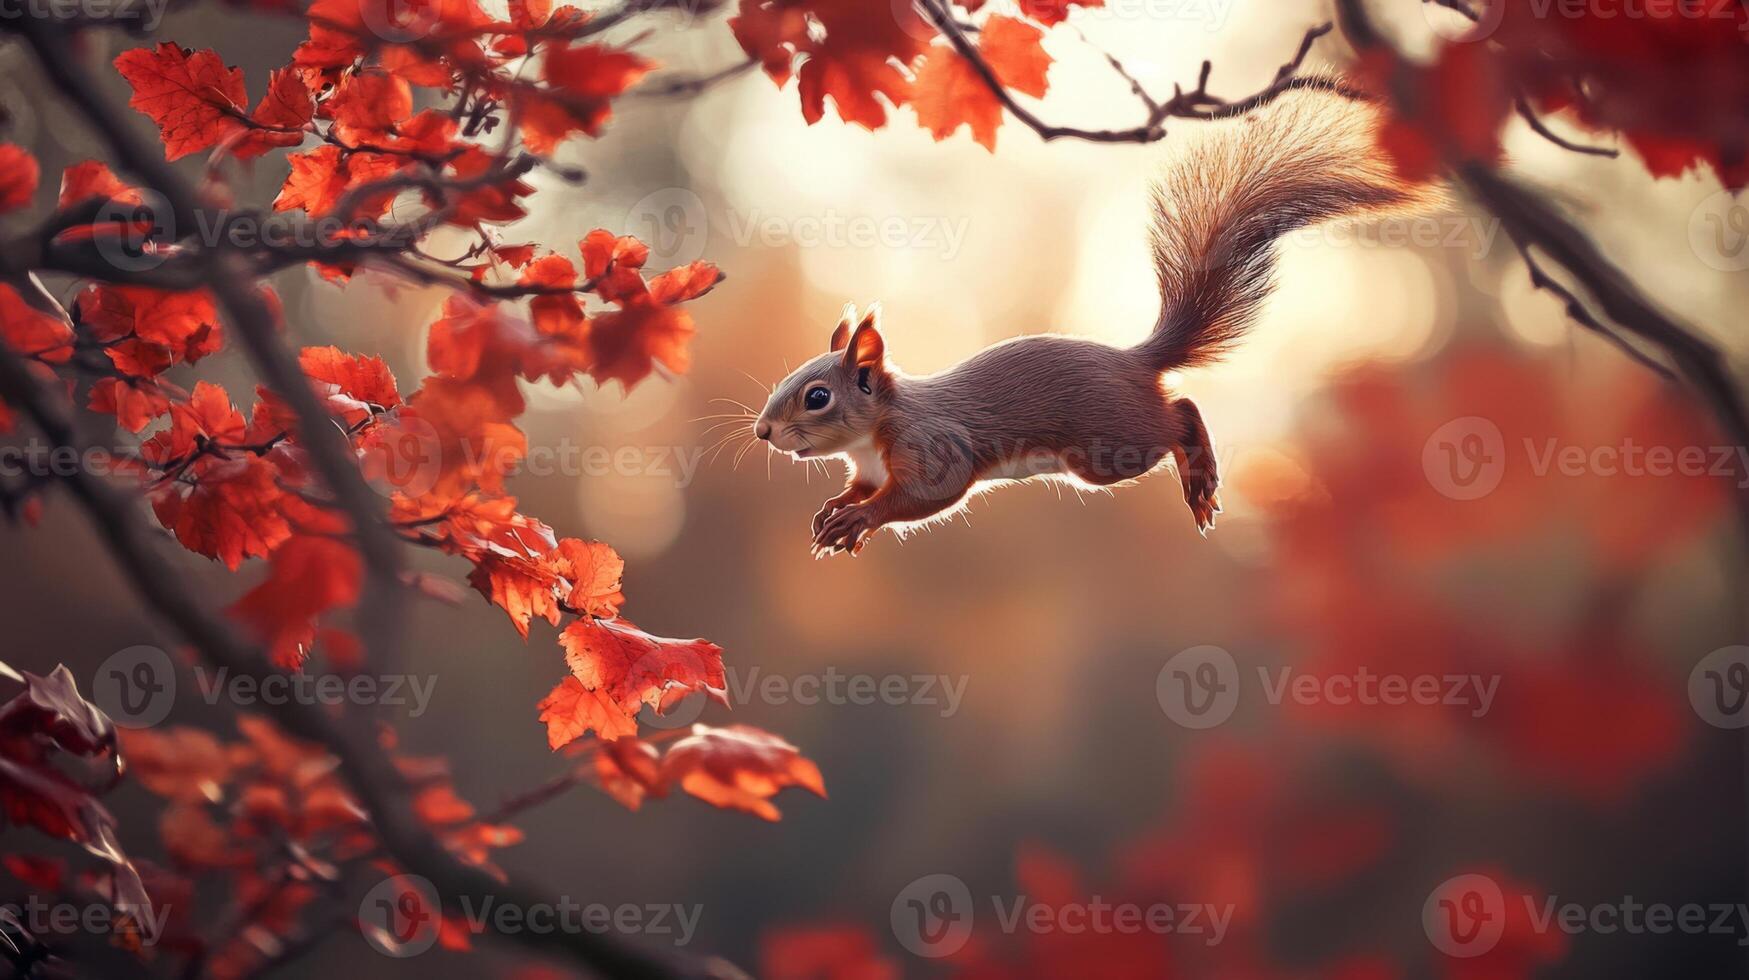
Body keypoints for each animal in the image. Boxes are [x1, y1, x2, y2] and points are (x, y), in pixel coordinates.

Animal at [752, 86, 1443, 557]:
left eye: (817, 396)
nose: (763, 432)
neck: (872, 437)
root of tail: (1135, 359)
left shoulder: (933, 445)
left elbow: (925, 495)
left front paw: (860, 520)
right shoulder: (870, 467)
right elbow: (862, 489)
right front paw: (837, 510)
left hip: (1107, 447)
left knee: (1179, 414)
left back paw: (1199, 472)